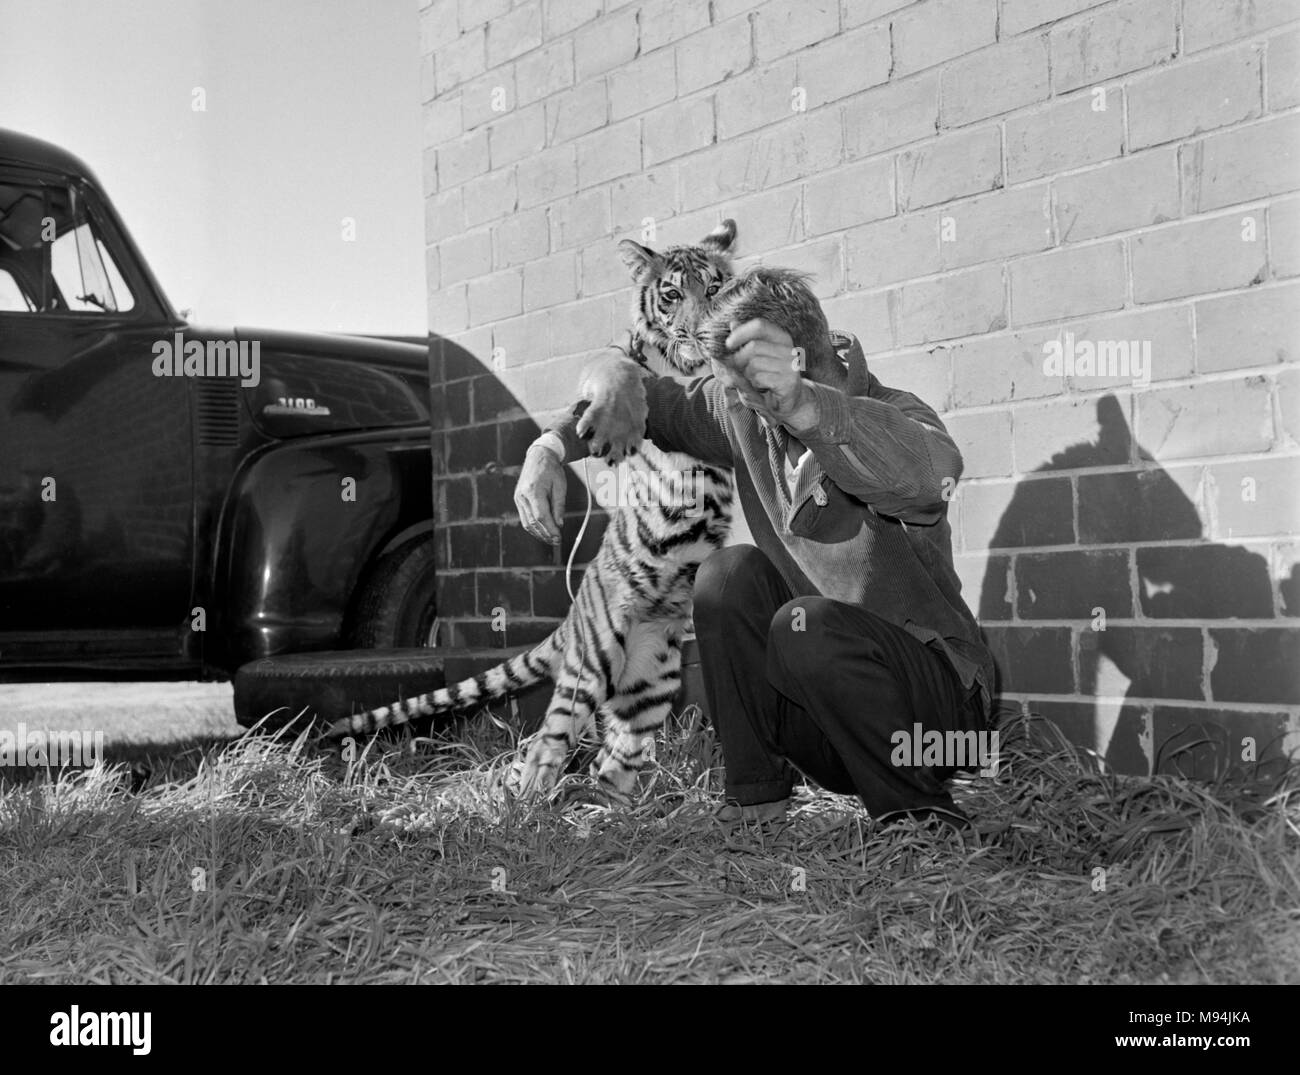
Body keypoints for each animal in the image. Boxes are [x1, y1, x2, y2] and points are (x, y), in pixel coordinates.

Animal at [327, 220, 740, 802]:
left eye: (715, 286)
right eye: (671, 295)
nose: (701, 332)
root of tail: (574, 617)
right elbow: (617, 370)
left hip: (652, 679)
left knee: (610, 758)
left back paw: (608, 810)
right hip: (593, 663)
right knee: (546, 743)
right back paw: (524, 807)